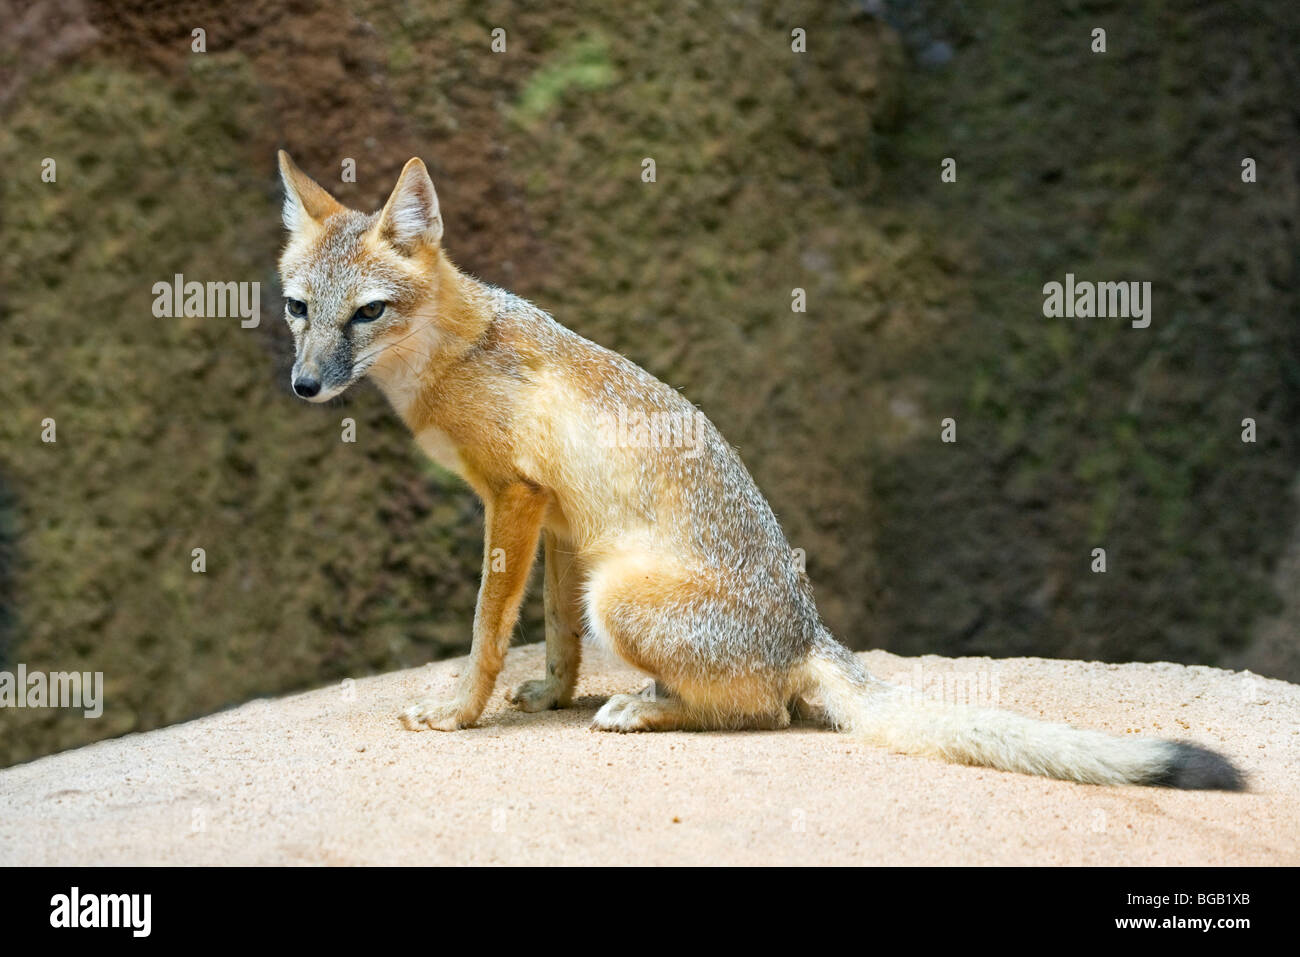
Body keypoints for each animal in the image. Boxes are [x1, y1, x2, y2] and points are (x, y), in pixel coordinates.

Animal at [275, 151, 1243, 790]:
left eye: (366, 313)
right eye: (296, 308)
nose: (304, 384)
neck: (452, 353)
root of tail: (807, 630)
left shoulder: (512, 498)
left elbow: (485, 627)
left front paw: (458, 712)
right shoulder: (556, 517)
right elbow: (552, 633)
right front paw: (548, 693)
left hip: (620, 593)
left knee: (763, 713)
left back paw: (647, 708)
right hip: (606, 574)